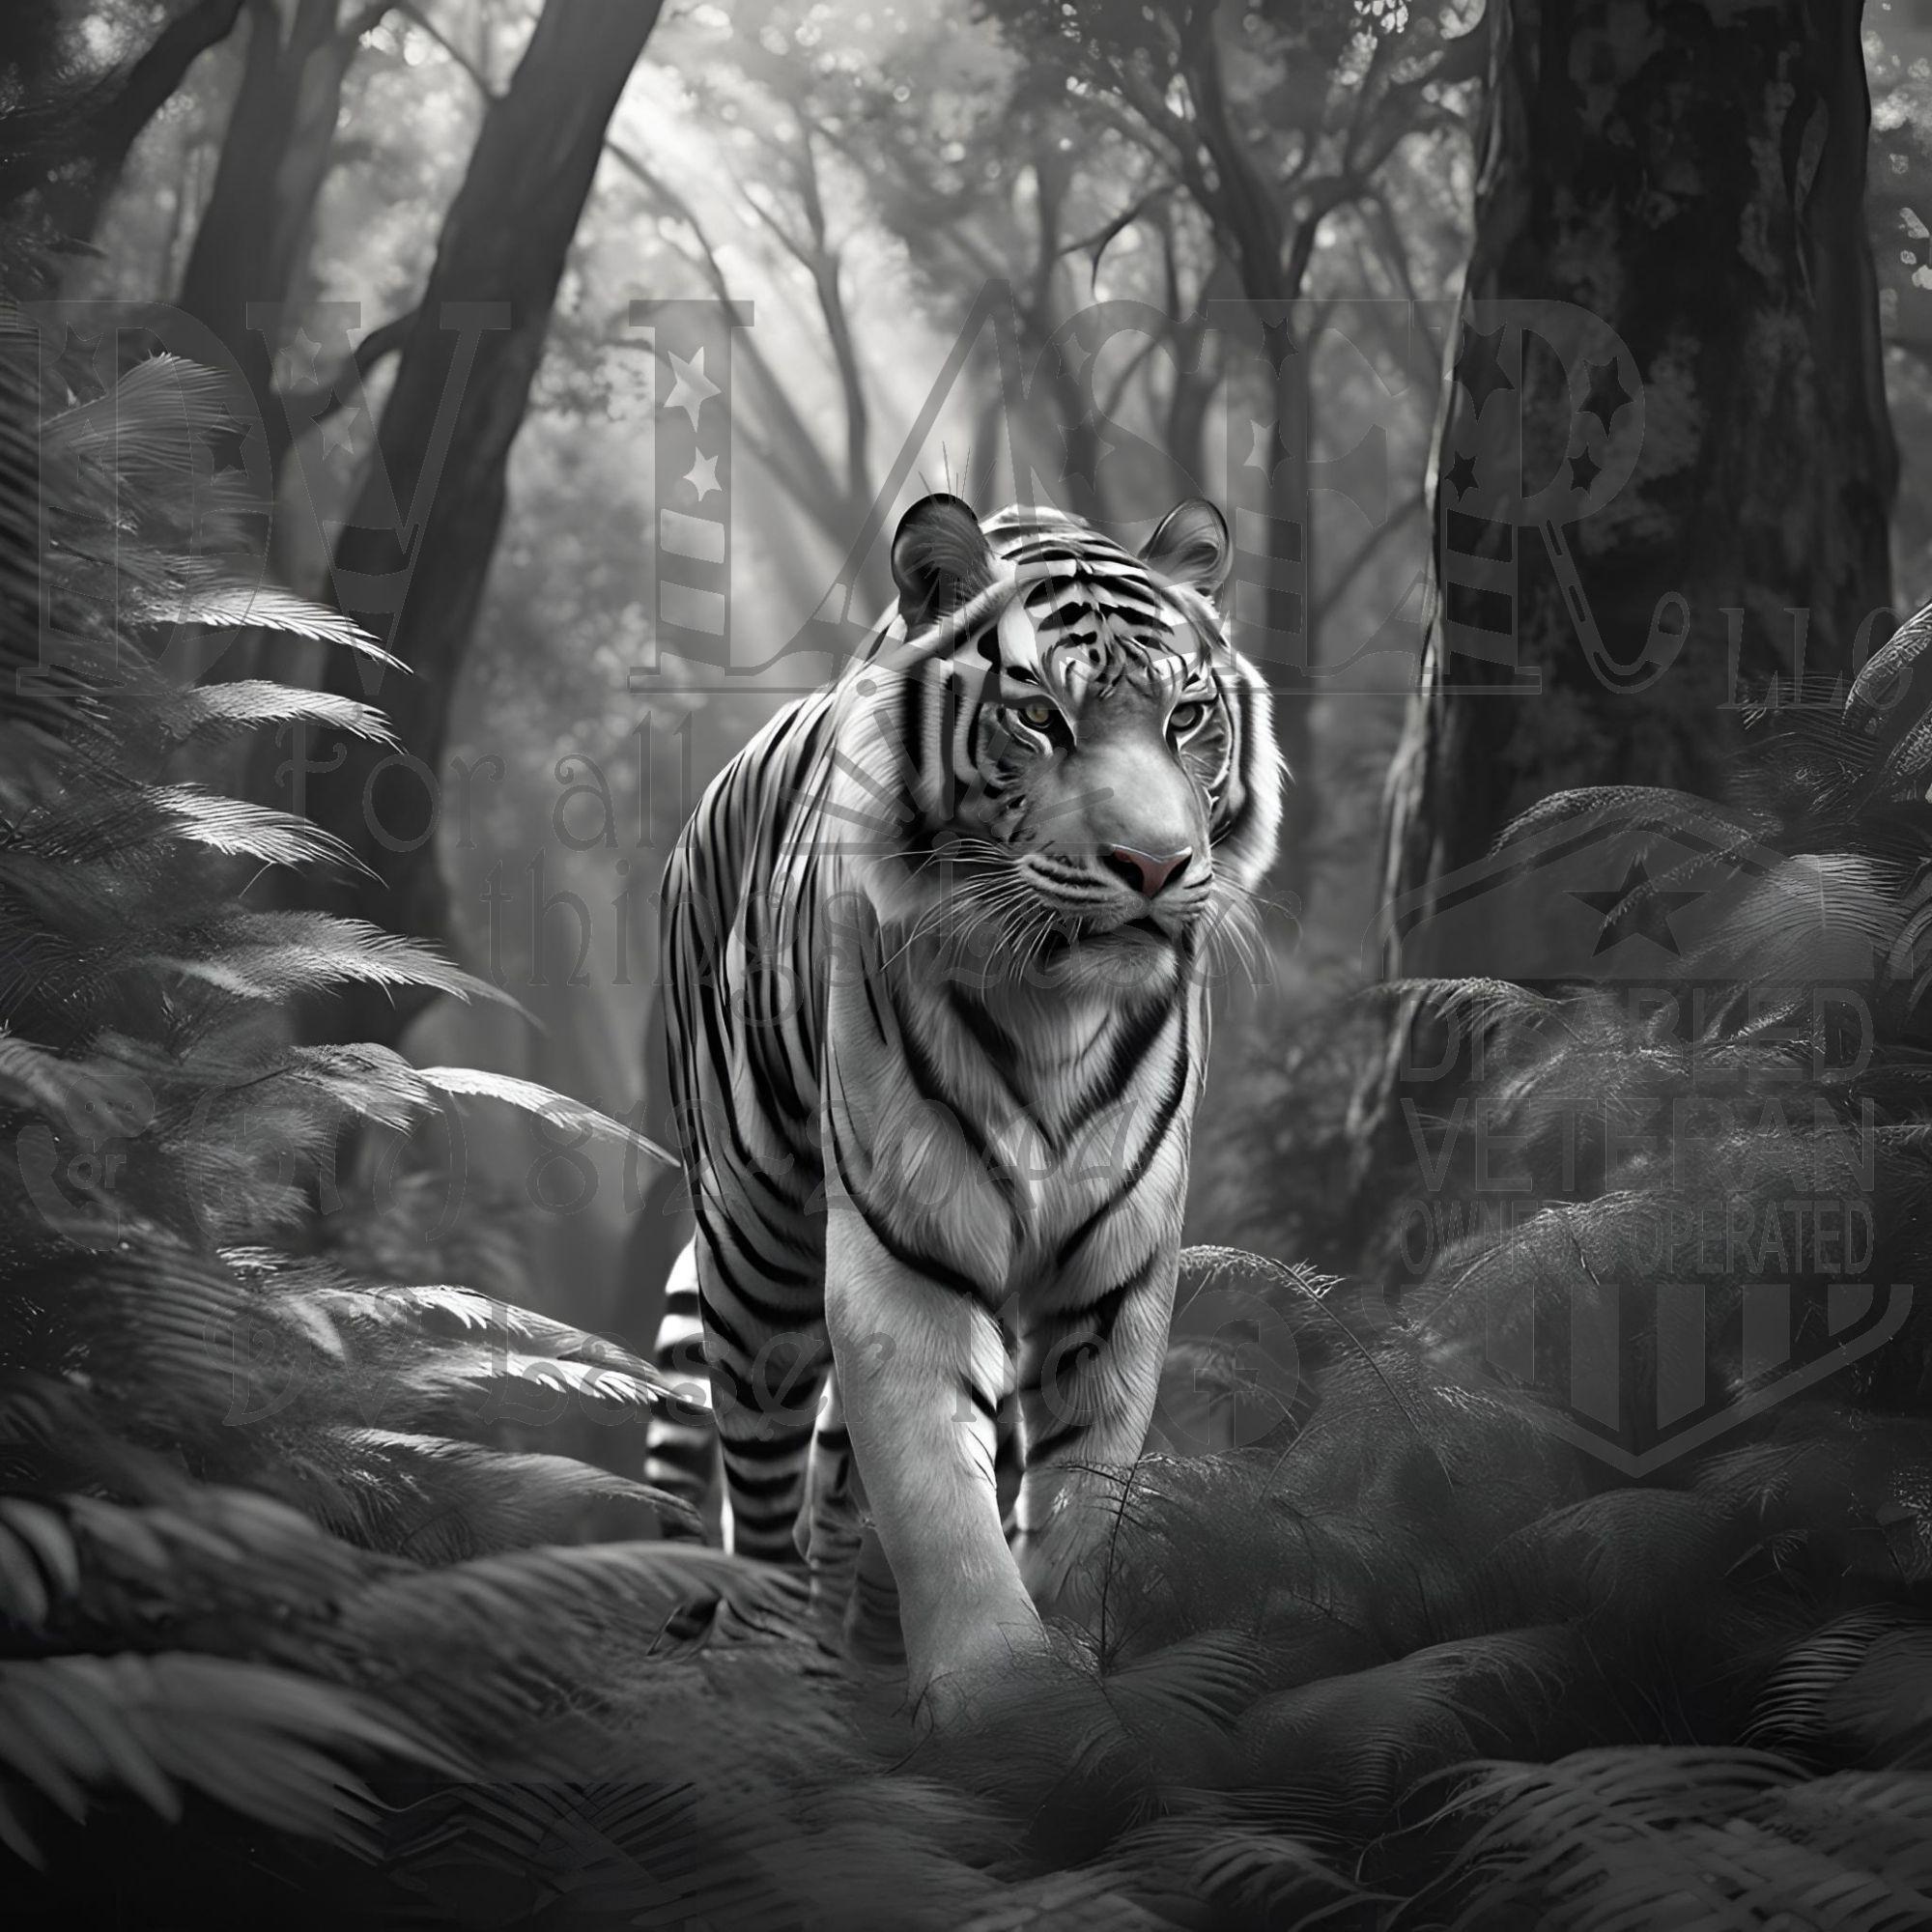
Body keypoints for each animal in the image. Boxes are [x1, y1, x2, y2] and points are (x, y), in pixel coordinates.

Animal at [643, 493, 1283, 1718]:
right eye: (1038, 715)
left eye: (1184, 716)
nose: (1152, 864)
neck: (1054, 1008)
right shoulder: (905, 1255)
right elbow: (937, 1495)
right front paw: (998, 1697)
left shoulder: (1113, 1273)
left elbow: (1086, 1491)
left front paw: (1076, 1669)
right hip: (751, 1234)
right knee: (762, 1460)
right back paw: (765, 1665)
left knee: (829, 1480)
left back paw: (851, 1652)